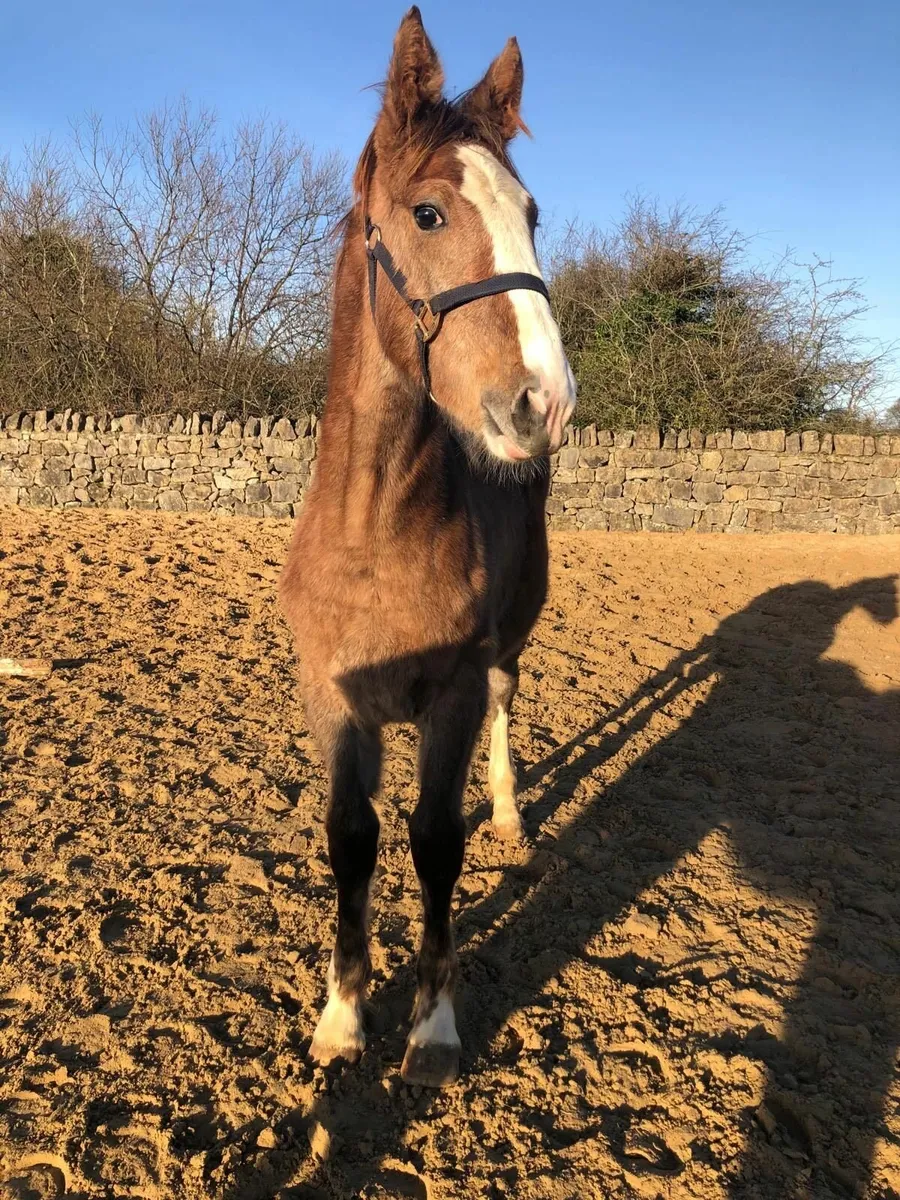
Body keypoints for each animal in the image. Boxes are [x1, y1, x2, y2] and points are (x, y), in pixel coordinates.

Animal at [279, 6, 576, 1088]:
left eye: (532, 213)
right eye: (429, 214)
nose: (542, 403)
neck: (374, 530)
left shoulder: (448, 693)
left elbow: (436, 841)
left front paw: (434, 1028)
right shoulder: (332, 696)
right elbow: (353, 838)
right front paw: (340, 1018)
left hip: (509, 639)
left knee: (506, 699)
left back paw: (513, 813)